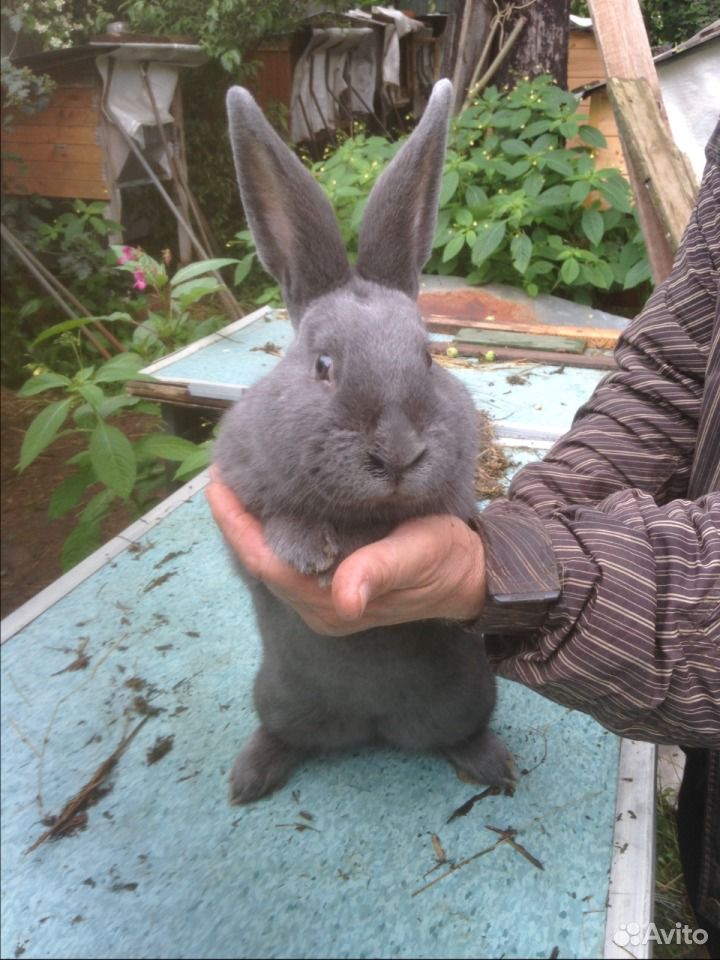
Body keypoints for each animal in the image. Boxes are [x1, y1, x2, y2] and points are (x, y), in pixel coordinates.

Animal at [214, 80, 516, 804]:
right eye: (323, 366)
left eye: (429, 359)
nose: (398, 455)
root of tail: (372, 725)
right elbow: (277, 518)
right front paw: (307, 550)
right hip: (277, 696)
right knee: (286, 733)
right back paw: (250, 777)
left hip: (469, 692)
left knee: (455, 732)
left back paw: (490, 765)